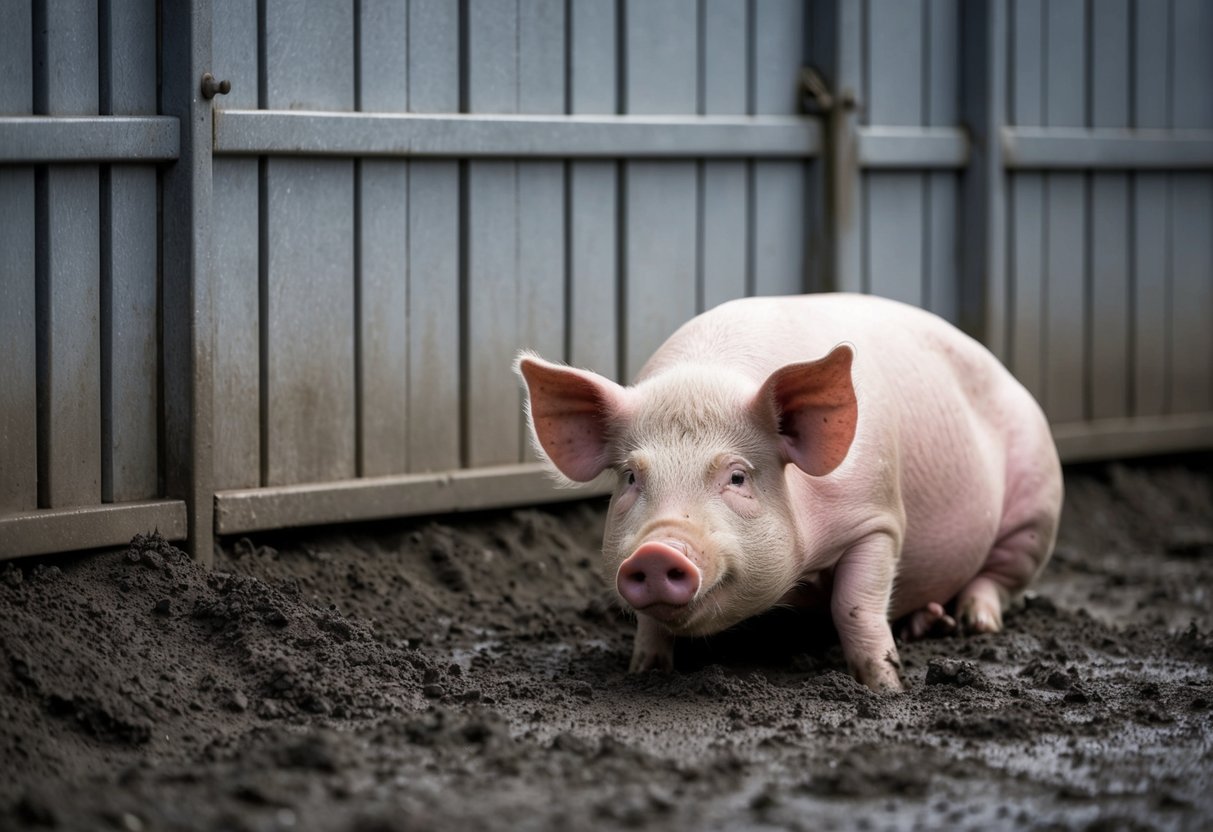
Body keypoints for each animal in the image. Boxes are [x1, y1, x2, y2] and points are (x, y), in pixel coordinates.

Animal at [515, 293, 1062, 691]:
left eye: (737, 477)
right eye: (631, 477)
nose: (654, 551)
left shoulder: (878, 520)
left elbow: (854, 605)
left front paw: (886, 687)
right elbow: (650, 627)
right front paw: (644, 673)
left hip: (1038, 507)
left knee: (999, 578)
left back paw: (975, 625)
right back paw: (929, 624)